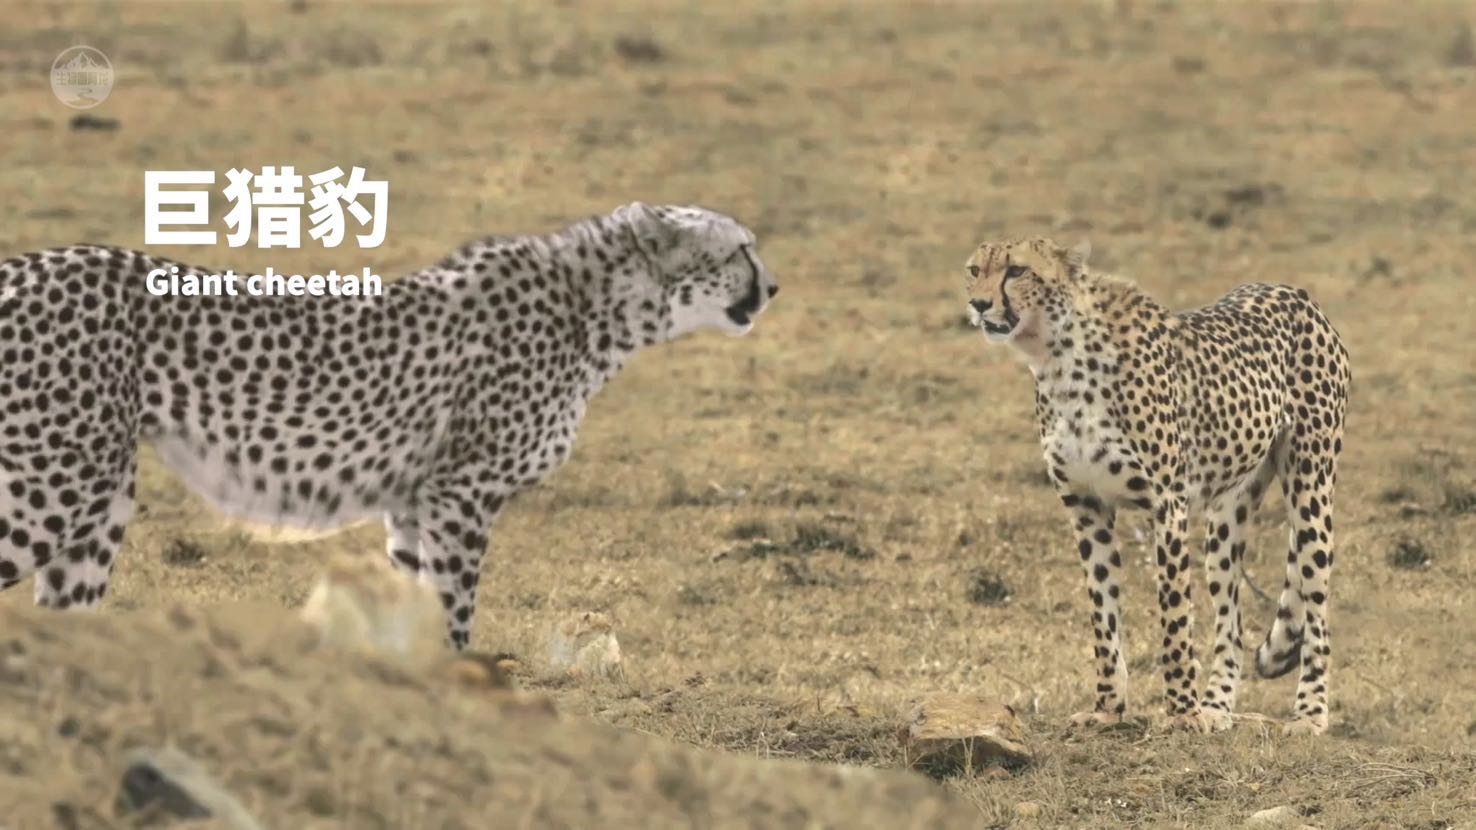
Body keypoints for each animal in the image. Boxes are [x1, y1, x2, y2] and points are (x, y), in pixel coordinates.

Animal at [961, 236, 1349, 736]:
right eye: (974, 270)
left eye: (1017, 271)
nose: (978, 304)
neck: (1057, 357)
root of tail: (1292, 290)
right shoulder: (1085, 507)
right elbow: (1103, 617)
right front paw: (1108, 708)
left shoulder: (1167, 505)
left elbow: (1174, 615)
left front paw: (1181, 712)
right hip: (1227, 519)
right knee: (1231, 623)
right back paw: (1217, 707)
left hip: (1311, 487)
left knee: (1316, 607)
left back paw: (1308, 714)